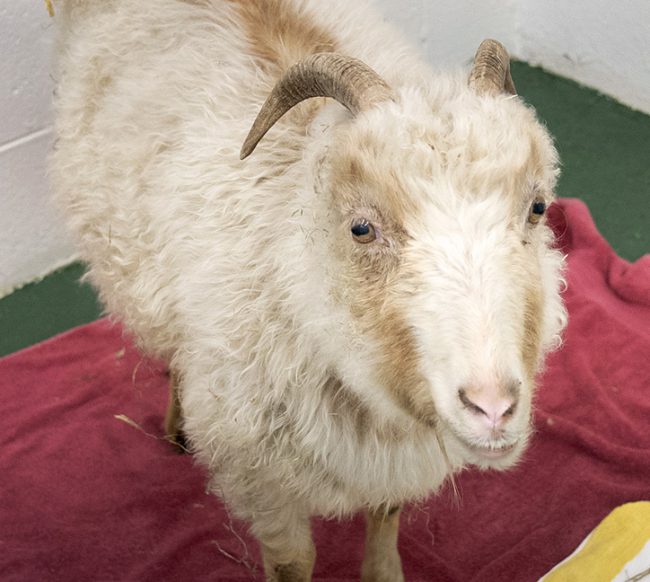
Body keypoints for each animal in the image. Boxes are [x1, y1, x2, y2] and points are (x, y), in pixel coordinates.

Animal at [50, 0, 567, 579]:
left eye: (537, 207)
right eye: (361, 228)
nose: (492, 407)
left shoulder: (395, 464)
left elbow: (385, 519)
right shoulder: (261, 479)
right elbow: (294, 563)